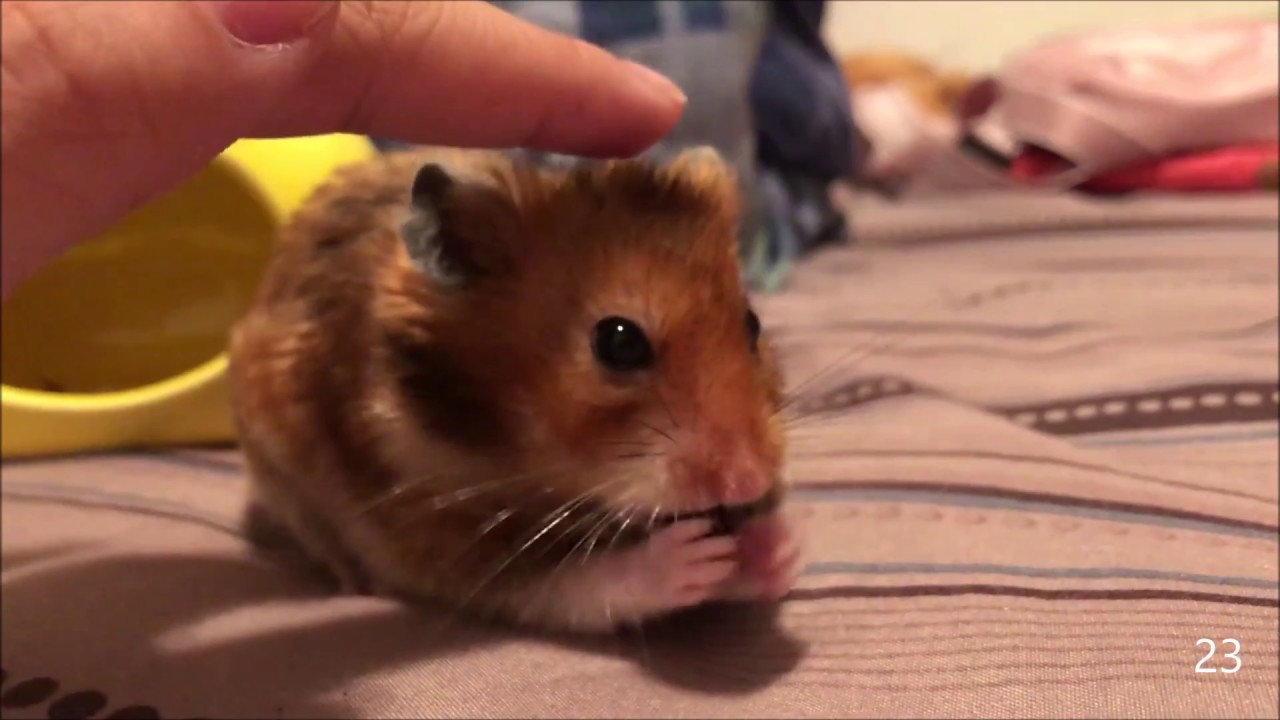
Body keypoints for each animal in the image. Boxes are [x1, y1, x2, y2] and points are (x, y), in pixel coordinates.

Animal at [226, 145, 800, 633]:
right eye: (619, 342)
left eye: (751, 323)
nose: (750, 480)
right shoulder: (429, 531)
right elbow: (567, 584)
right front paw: (696, 555)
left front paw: (778, 546)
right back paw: (354, 581)